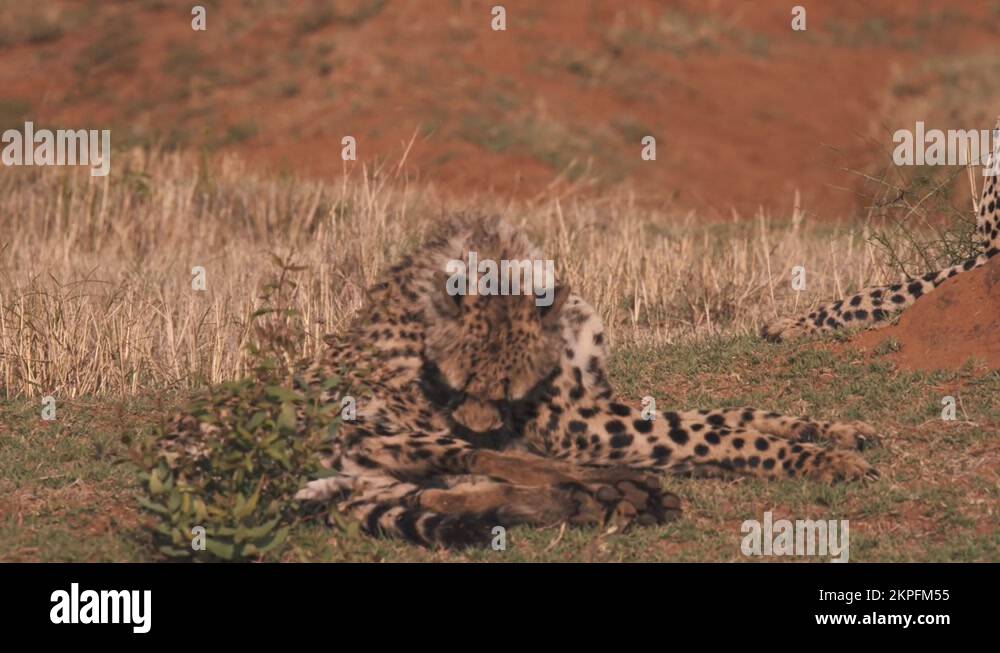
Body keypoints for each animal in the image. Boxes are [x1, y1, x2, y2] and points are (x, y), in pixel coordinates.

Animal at [293, 215, 879, 547]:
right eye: (452, 387)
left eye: (505, 392)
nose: (484, 426)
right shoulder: (578, 423)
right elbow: (714, 434)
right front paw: (823, 460)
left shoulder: (598, 402)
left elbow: (726, 415)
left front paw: (829, 431)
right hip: (396, 432)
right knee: (496, 467)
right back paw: (619, 489)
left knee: (444, 493)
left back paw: (603, 502)